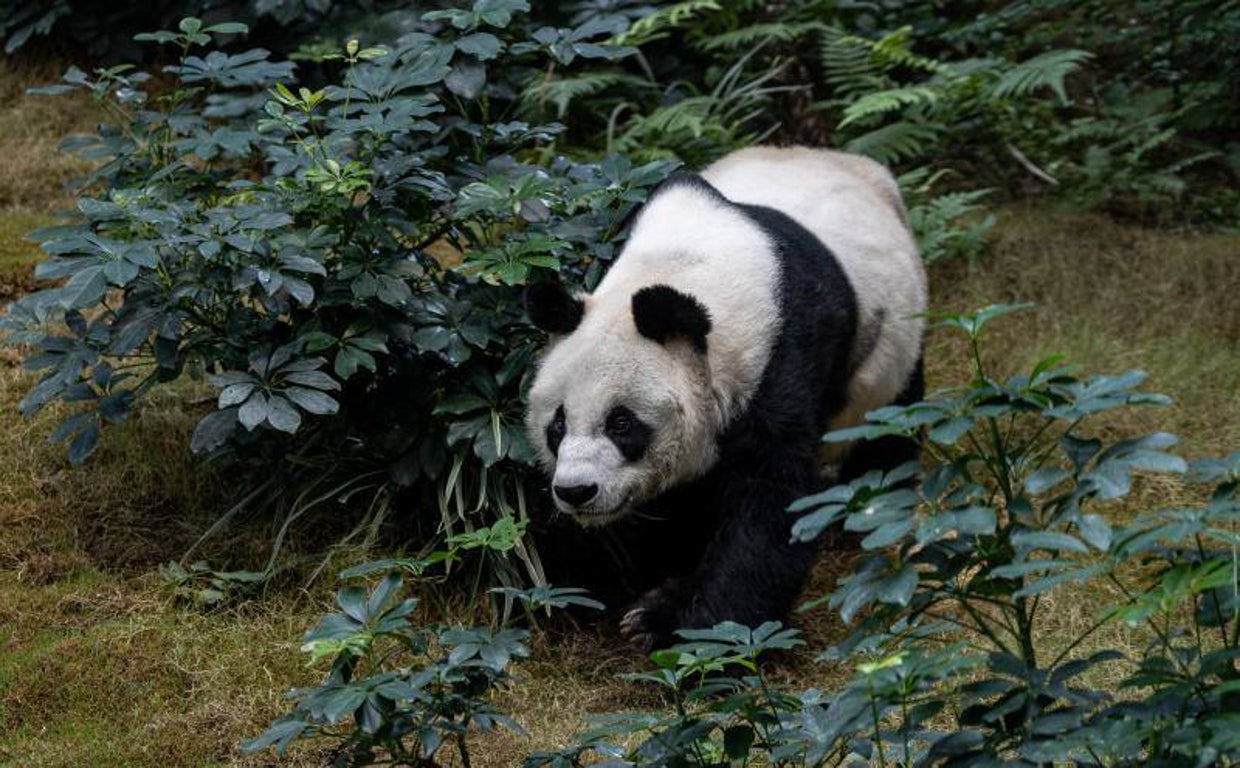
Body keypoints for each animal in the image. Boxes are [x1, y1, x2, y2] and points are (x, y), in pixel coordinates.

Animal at [524, 146, 927, 649]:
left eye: (621, 423)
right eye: (557, 425)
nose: (576, 491)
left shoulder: (780, 359)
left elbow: (770, 499)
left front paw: (680, 622)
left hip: (894, 339)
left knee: (891, 421)